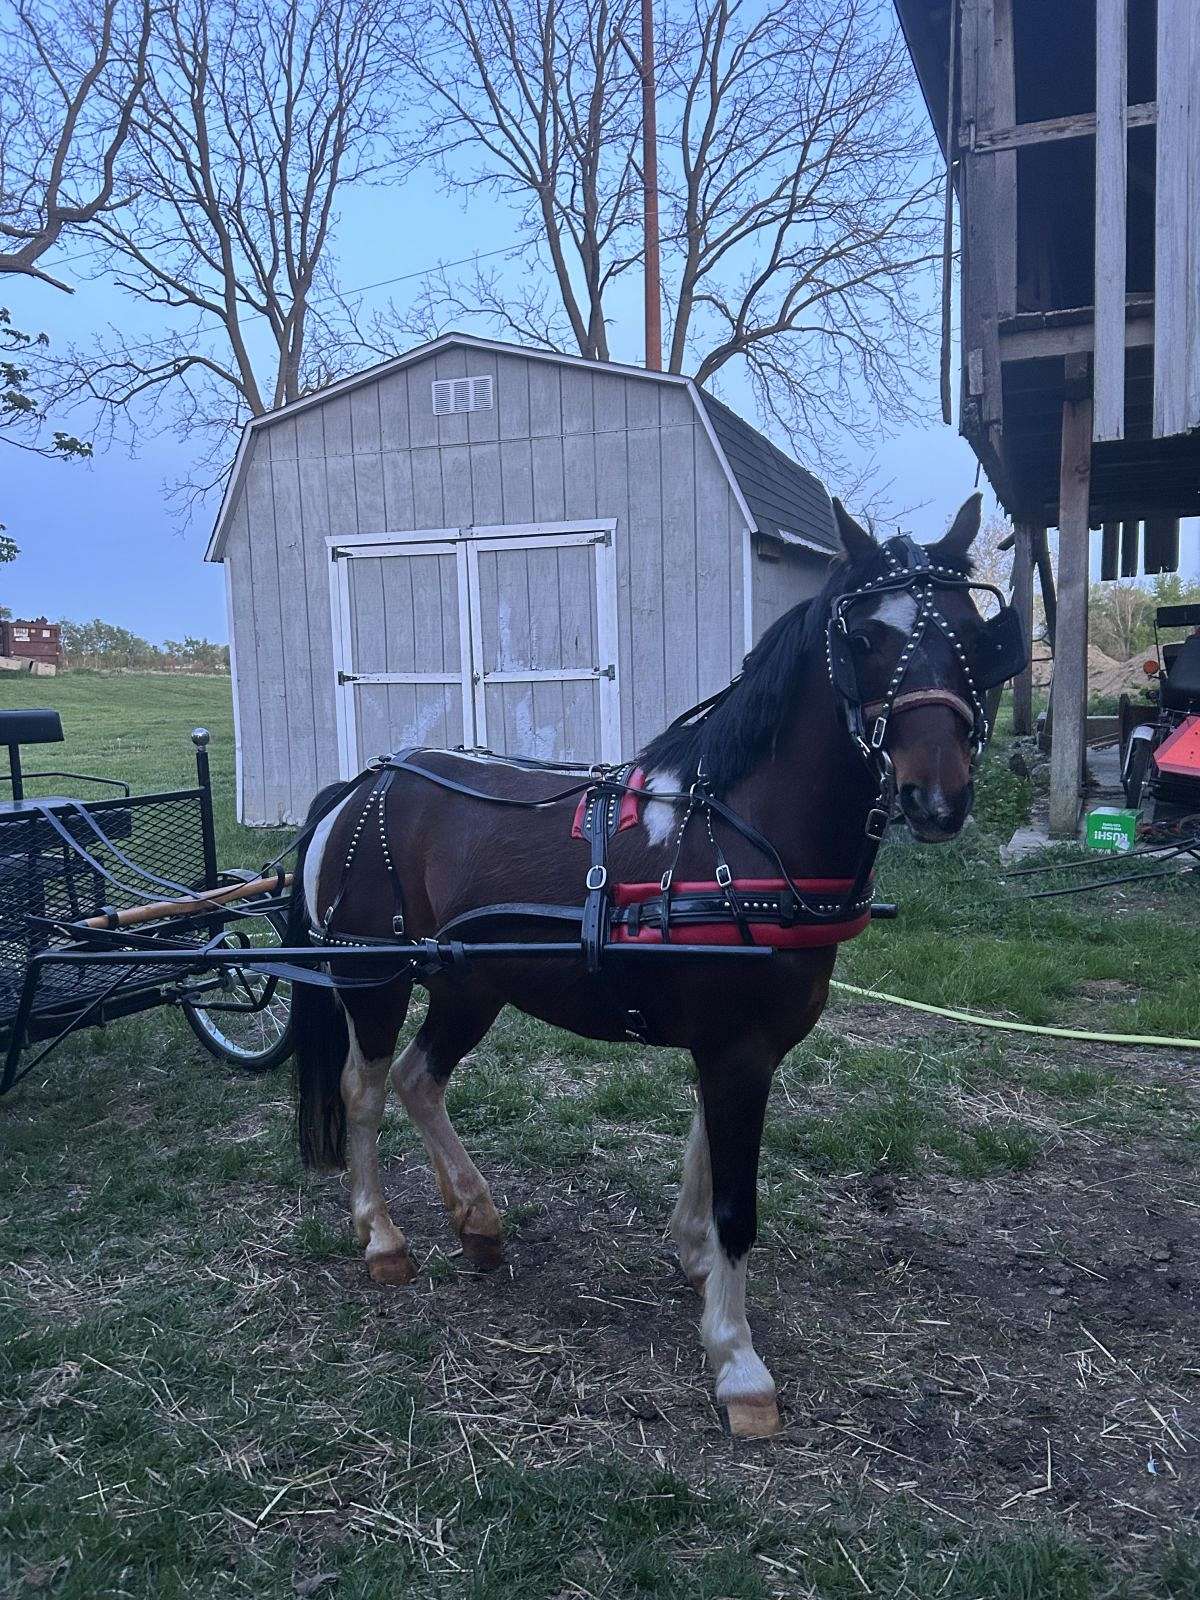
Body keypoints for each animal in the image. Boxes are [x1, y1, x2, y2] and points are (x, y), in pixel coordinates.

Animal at [287, 491, 1015, 1438]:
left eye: (970, 630)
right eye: (862, 637)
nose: (938, 795)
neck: (743, 839)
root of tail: (362, 788)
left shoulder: (740, 1046)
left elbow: (704, 1150)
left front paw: (694, 1261)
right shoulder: (737, 1048)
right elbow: (740, 1202)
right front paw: (738, 1364)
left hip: (471, 984)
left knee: (420, 1080)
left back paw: (477, 1219)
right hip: (371, 978)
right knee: (365, 1092)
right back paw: (381, 1236)